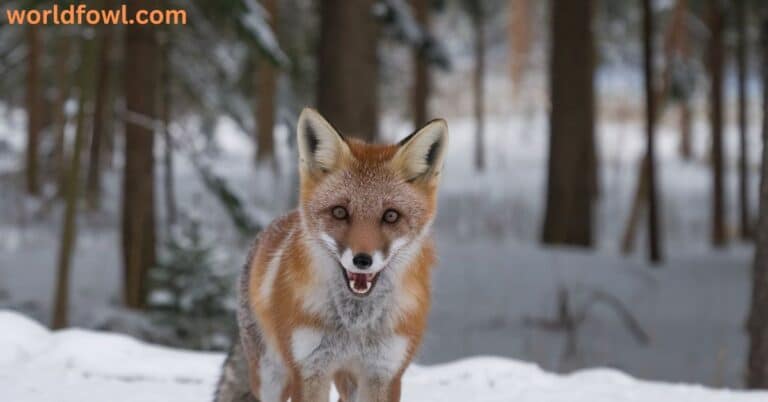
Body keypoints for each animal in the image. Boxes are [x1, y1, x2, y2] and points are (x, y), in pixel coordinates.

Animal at [214, 108, 449, 402]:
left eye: (391, 216)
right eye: (339, 212)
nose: (362, 260)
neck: (354, 326)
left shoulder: (384, 373)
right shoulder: (309, 370)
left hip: (349, 382)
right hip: (271, 377)